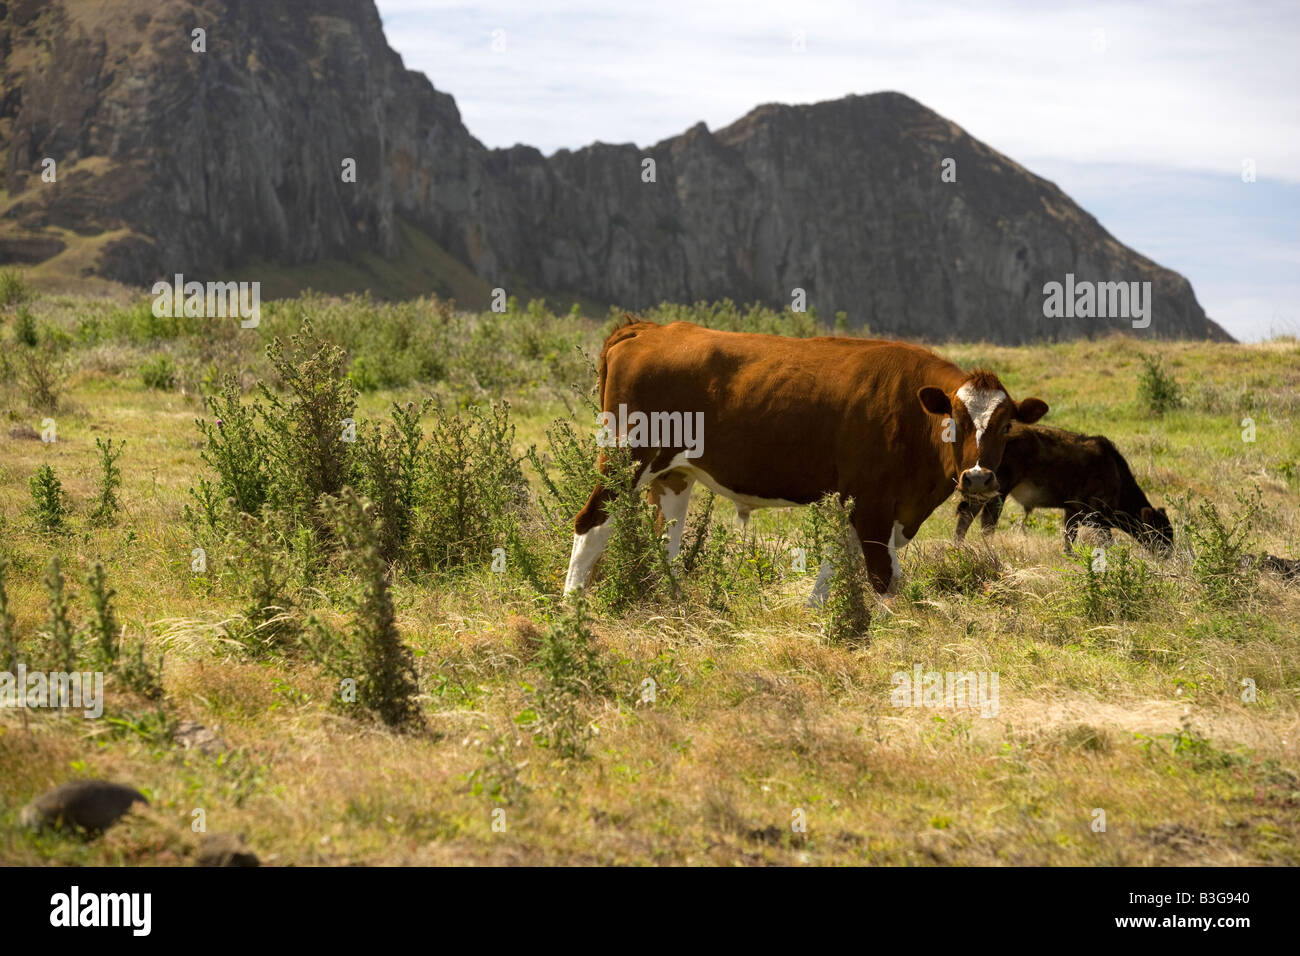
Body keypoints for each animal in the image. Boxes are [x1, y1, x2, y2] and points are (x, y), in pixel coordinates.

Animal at [563, 319, 1049, 598]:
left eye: (1006, 424)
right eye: (955, 420)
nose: (980, 478)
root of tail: (647, 327)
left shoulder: (860, 504)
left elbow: (834, 567)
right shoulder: (873, 505)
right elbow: (883, 579)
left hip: (674, 473)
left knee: (667, 537)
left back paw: (669, 602)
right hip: (625, 459)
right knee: (591, 523)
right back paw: (573, 609)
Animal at [953, 422, 1173, 555]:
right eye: (1159, 533)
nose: (1169, 554)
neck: (1115, 472)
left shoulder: (1072, 510)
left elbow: (1069, 538)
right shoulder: (1093, 515)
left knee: (966, 516)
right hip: (999, 490)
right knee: (986, 522)